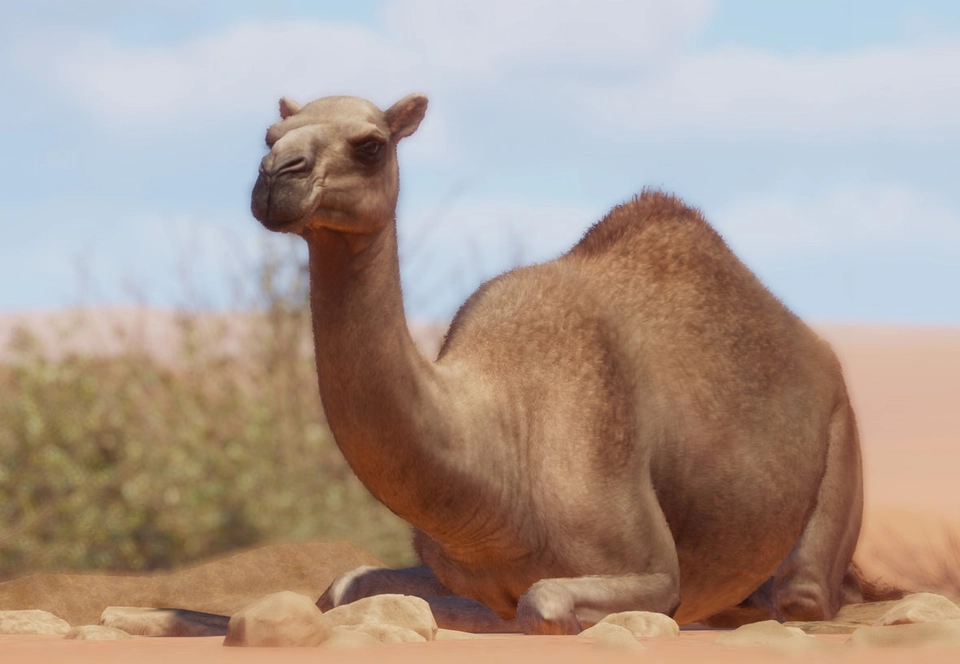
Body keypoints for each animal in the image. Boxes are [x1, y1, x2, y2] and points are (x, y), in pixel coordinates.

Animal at [250, 93, 870, 635]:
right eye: (271, 135)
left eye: (371, 145)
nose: (277, 177)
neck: (496, 443)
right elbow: (345, 586)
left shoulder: (651, 569)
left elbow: (541, 602)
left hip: (842, 435)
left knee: (803, 595)